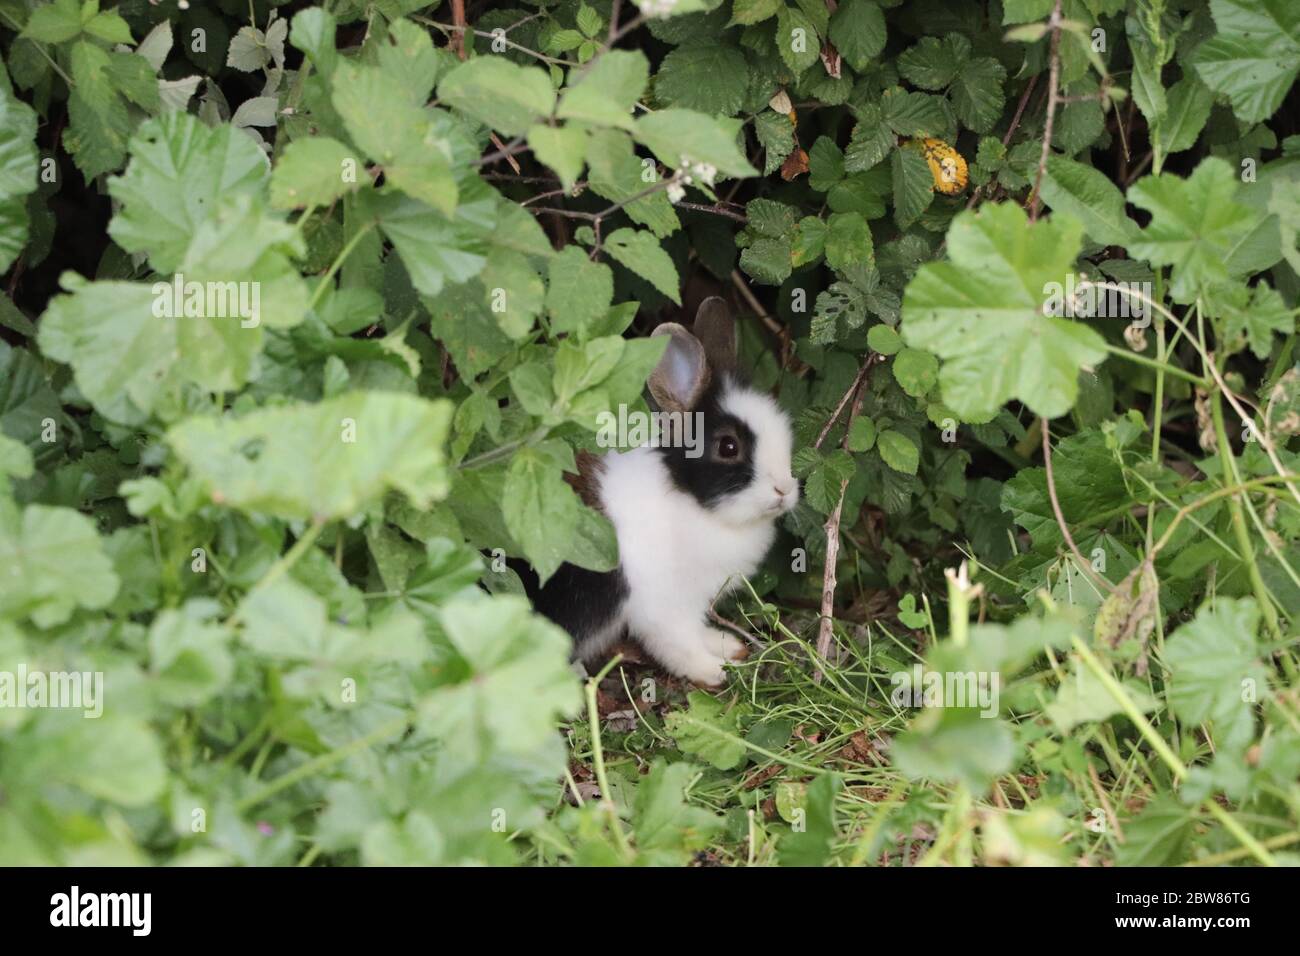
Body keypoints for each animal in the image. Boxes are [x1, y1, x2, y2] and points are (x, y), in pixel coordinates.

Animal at [519, 297, 798, 687]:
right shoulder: (664, 608)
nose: (784, 489)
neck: (687, 500)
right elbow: (679, 644)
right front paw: (713, 671)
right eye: (729, 447)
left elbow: (698, 631)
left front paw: (726, 645)